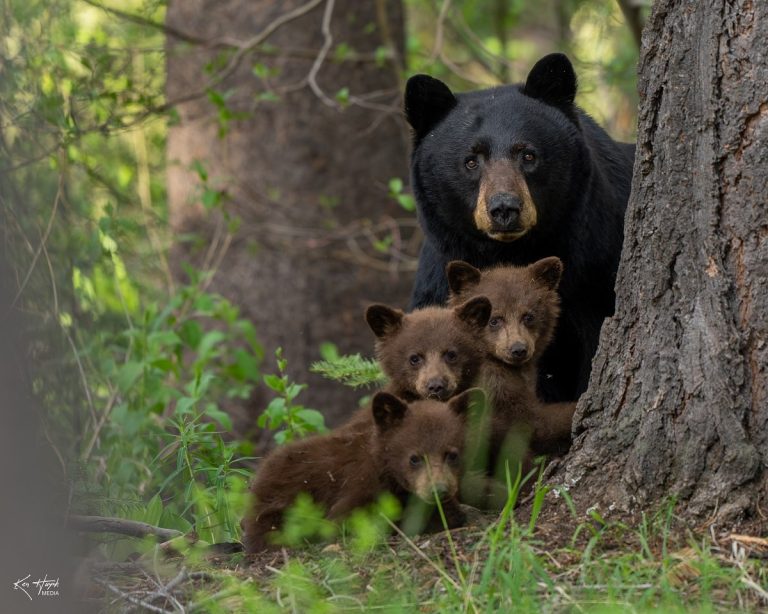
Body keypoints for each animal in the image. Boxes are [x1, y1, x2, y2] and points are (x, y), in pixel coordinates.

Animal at [404, 52, 635, 403]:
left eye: (528, 155)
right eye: (471, 161)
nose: (505, 208)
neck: (515, 250)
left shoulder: (594, 274)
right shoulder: (441, 283)